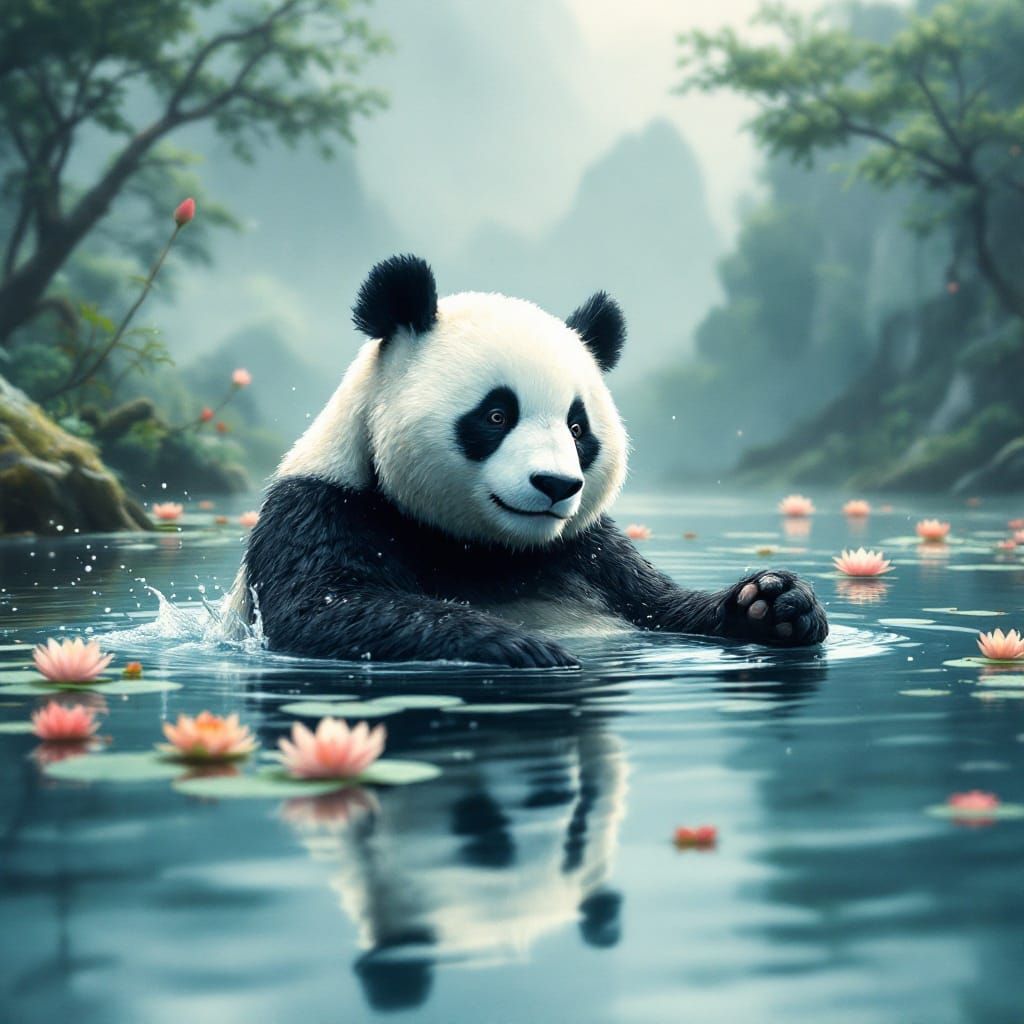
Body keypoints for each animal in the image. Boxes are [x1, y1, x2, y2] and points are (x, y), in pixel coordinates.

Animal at [231, 255, 828, 667]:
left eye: (577, 427)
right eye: (497, 415)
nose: (556, 484)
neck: (484, 548)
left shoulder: (589, 550)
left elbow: (661, 604)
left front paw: (774, 602)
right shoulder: (323, 509)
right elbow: (326, 609)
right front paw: (520, 644)